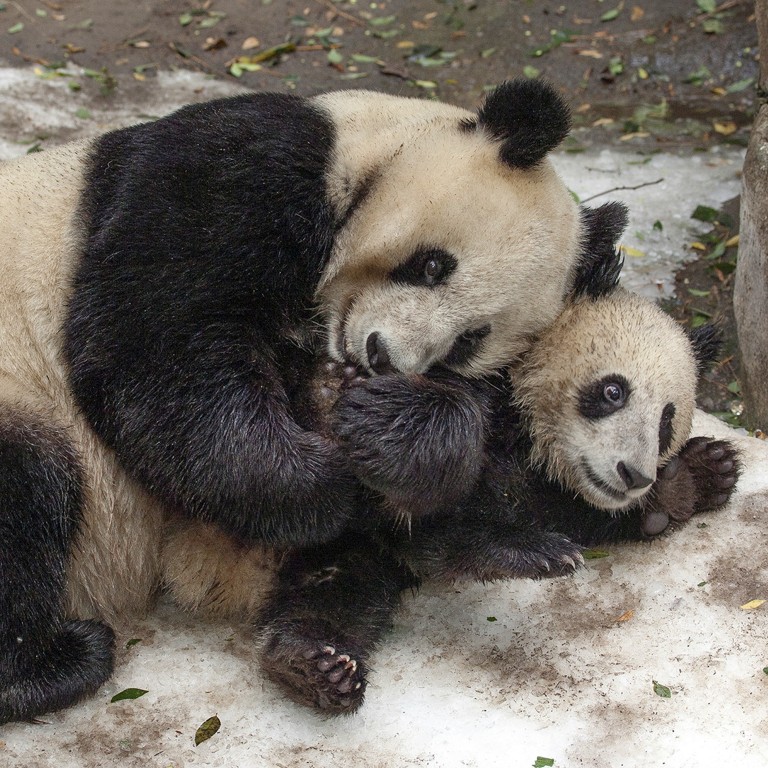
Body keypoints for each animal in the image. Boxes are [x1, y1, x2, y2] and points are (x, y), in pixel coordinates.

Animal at [0, 80, 588, 724]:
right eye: (433, 265)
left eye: (469, 340)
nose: (380, 356)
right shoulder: (230, 175)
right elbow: (151, 342)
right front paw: (321, 481)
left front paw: (384, 433)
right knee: (28, 488)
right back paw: (55, 667)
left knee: (356, 562)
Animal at [161, 213, 739, 714]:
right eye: (614, 391)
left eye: (666, 423)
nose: (633, 475)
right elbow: (433, 507)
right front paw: (531, 548)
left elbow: (557, 508)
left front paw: (700, 474)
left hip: (332, 551)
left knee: (337, 592)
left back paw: (313, 665)